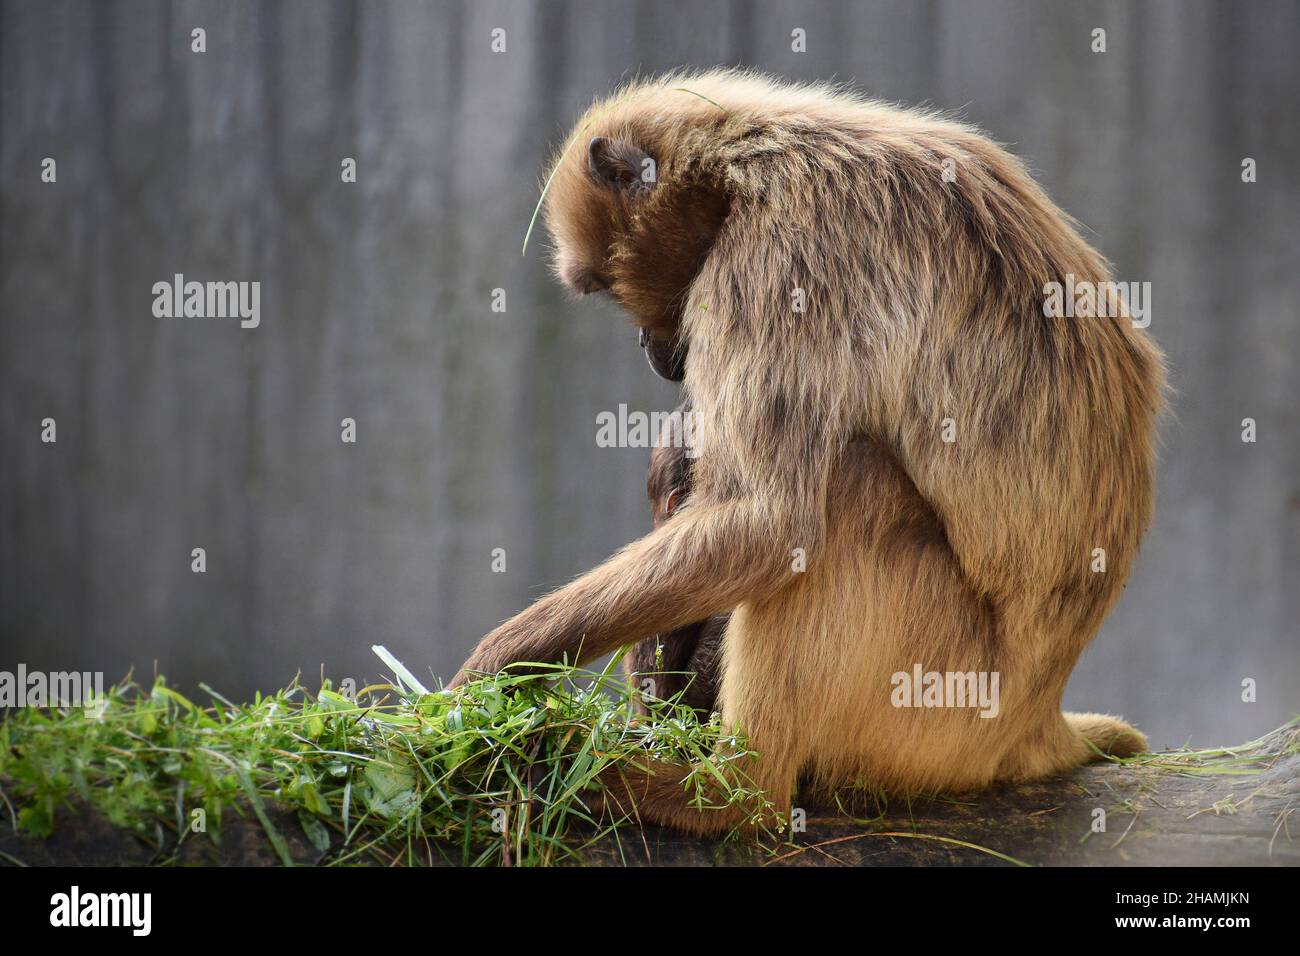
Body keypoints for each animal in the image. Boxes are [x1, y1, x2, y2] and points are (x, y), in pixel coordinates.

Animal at [450, 70, 1165, 835]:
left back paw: (729, 795)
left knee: (848, 487)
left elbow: (769, 526)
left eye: (604, 288)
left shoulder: (775, 260)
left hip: (951, 700)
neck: (750, 163)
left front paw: (491, 676)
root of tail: (1036, 713)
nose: (645, 347)